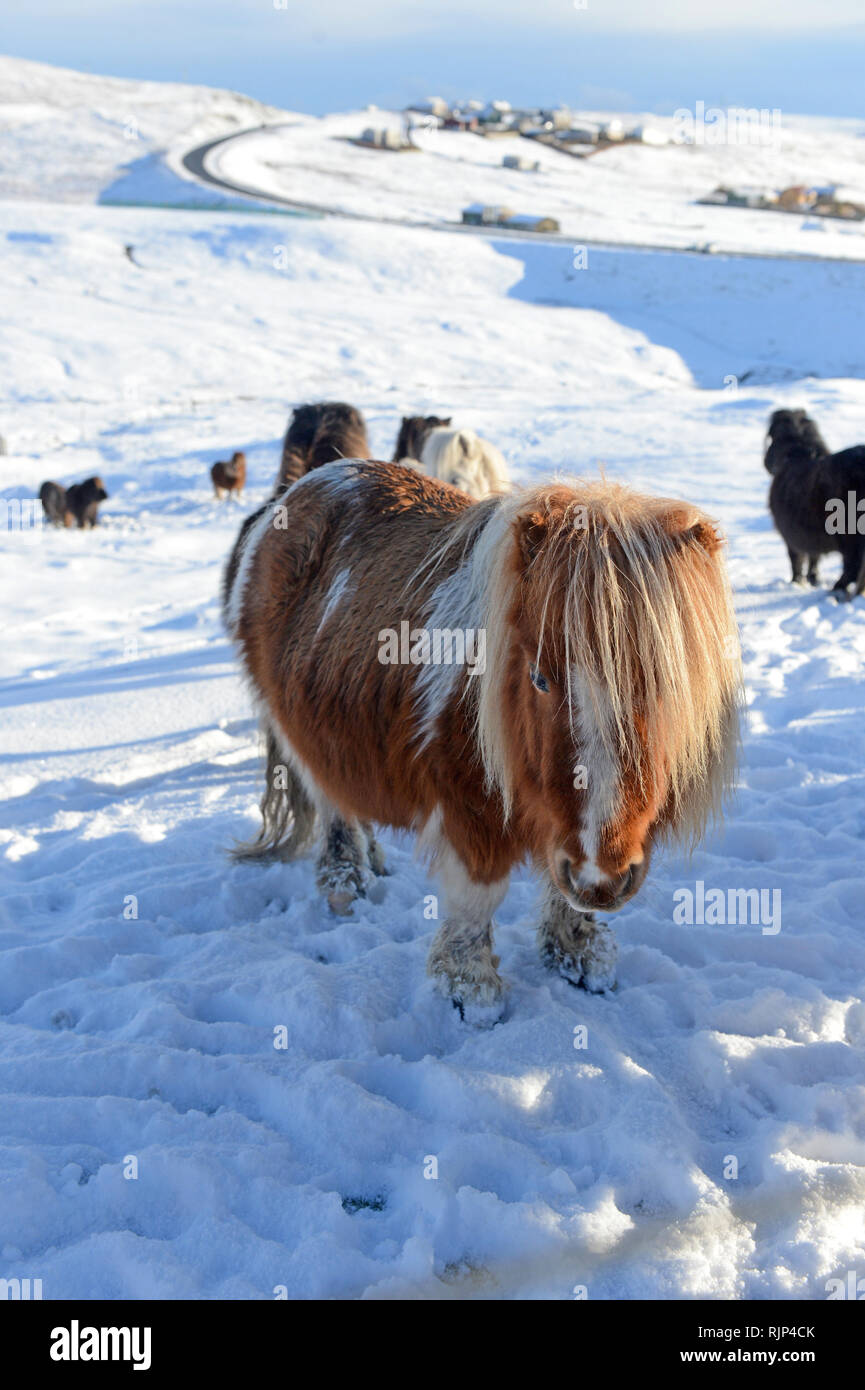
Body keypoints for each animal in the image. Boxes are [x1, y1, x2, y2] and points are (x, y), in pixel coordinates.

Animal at [224, 460, 741, 1023]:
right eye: (539, 678)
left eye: (672, 683)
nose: (601, 879)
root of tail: (301, 487)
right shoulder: (468, 808)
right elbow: (479, 896)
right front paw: (470, 991)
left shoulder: (562, 831)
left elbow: (559, 886)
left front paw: (577, 955)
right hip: (293, 730)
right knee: (331, 804)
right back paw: (345, 883)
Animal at [764, 409, 865, 596]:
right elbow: (814, 558)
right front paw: (813, 579)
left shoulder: (791, 537)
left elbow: (797, 560)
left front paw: (797, 581)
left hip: (849, 537)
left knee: (852, 567)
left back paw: (837, 589)